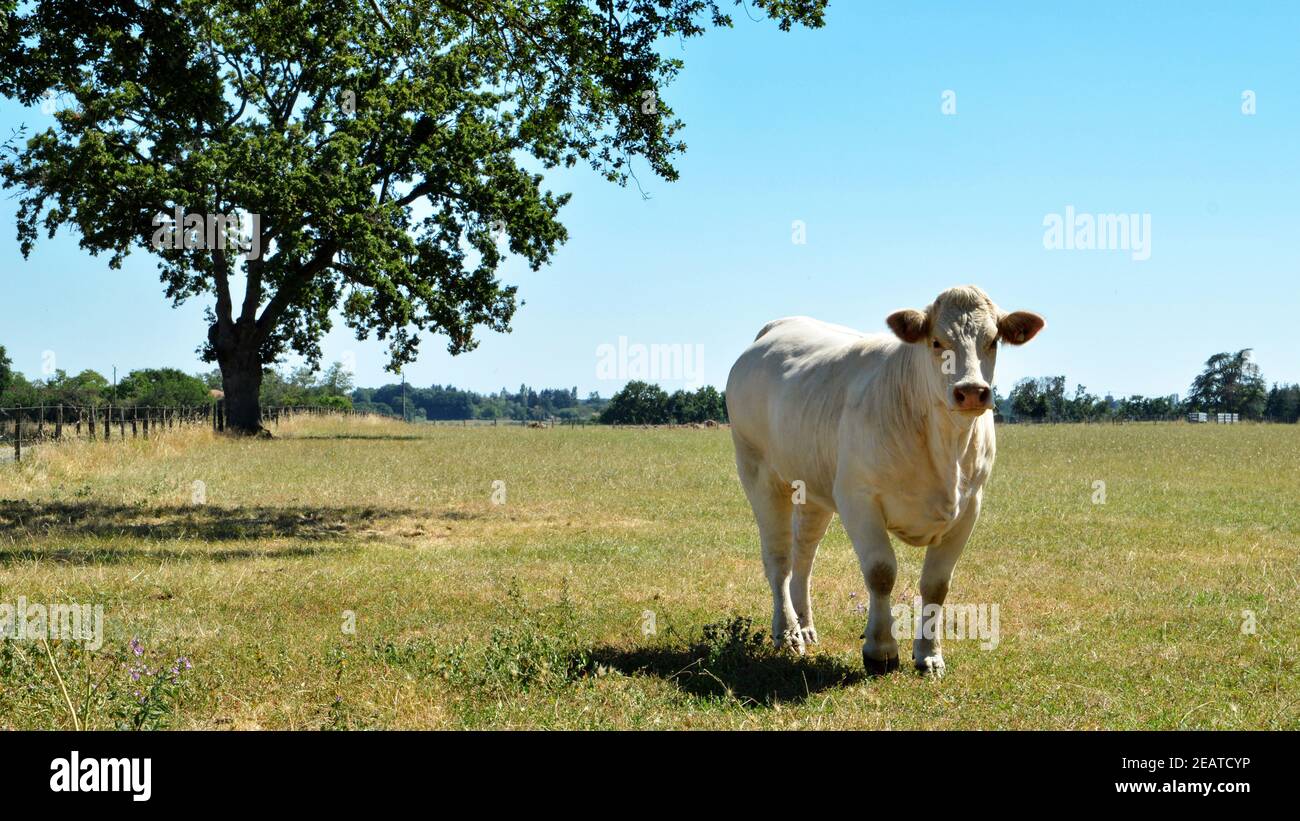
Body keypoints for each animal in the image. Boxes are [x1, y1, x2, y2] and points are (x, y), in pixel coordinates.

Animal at [725, 286, 1044, 675]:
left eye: (993, 340)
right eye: (936, 341)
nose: (971, 390)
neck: (945, 446)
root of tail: (775, 328)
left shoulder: (970, 506)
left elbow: (937, 584)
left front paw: (929, 655)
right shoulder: (858, 498)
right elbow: (881, 572)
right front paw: (880, 650)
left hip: (812, 488)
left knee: (805, 555)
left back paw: (806, 625)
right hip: (759, 474)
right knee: (779, 560)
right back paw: (787, 633)